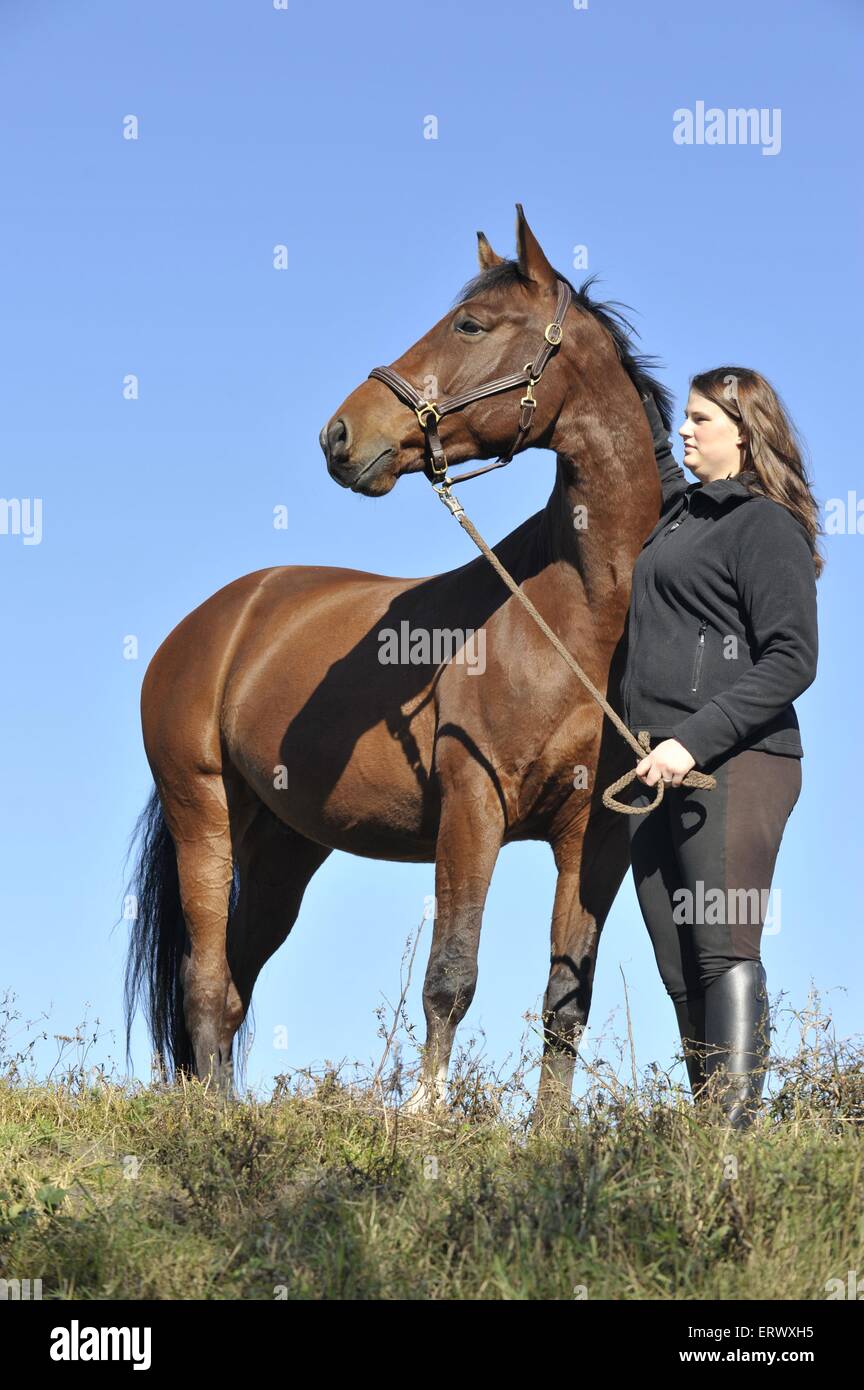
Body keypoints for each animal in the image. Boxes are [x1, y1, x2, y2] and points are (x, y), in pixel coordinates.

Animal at [125, 204, 670, 1125]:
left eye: (471, 325)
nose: (339, 436)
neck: (573, 620)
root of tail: (210, 625)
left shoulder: (593, 838)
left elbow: (566, 997)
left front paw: (548, 1135)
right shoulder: (473, 808)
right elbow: (451, 975)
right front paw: (423, 1117)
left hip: (284, 847)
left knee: (231, 984)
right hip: (204, 814)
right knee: (203, 980)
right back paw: (214, 1122)